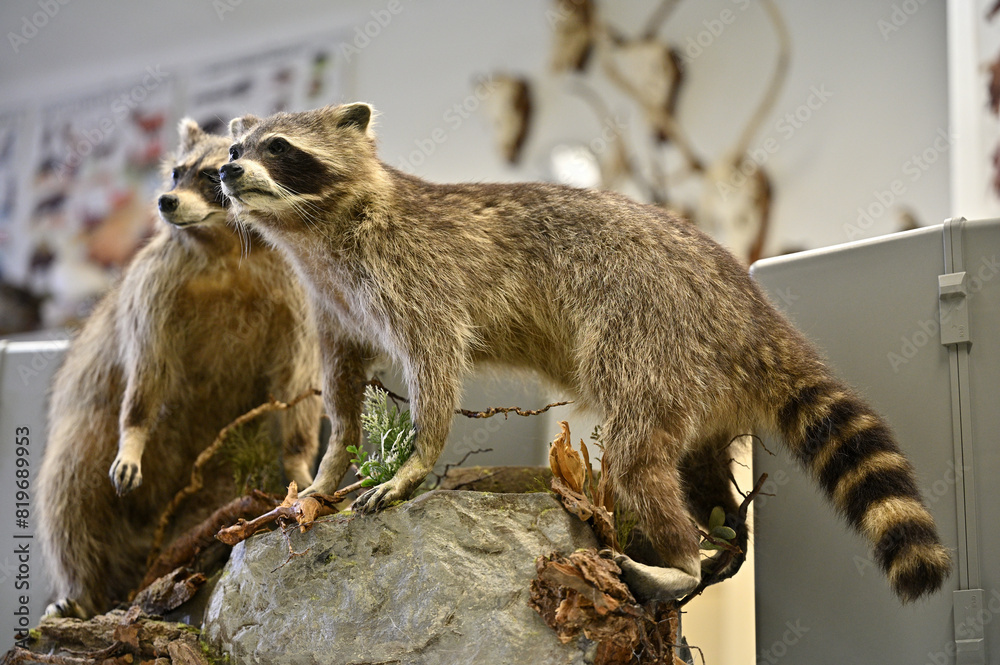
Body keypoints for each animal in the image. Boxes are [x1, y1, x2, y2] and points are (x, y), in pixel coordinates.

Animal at [37, 120, 322, 618]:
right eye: (175, 173)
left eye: (211, 176)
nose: (166, 201)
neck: (224, 245)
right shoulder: (154, 288)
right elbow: (147, 372)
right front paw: (133, 434)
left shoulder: (293, 293)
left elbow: (297, 380)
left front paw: (298, 456)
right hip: (91, 431)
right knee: (69, 498)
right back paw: (83, 590)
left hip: (217, 469)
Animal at [219, 102, 950, 602]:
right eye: (234, 145)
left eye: (278, 147)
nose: (227, 168)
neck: (313, 228)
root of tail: (753, 314)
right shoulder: (332, 303)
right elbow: (342, 390)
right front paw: (326, 474)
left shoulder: (415, 275)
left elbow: (437, 360)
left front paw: (418, 457)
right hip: (701, 386)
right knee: (695, 471)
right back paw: (718, 538)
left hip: (657, 335)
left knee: (635, 456)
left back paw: (679, 558)